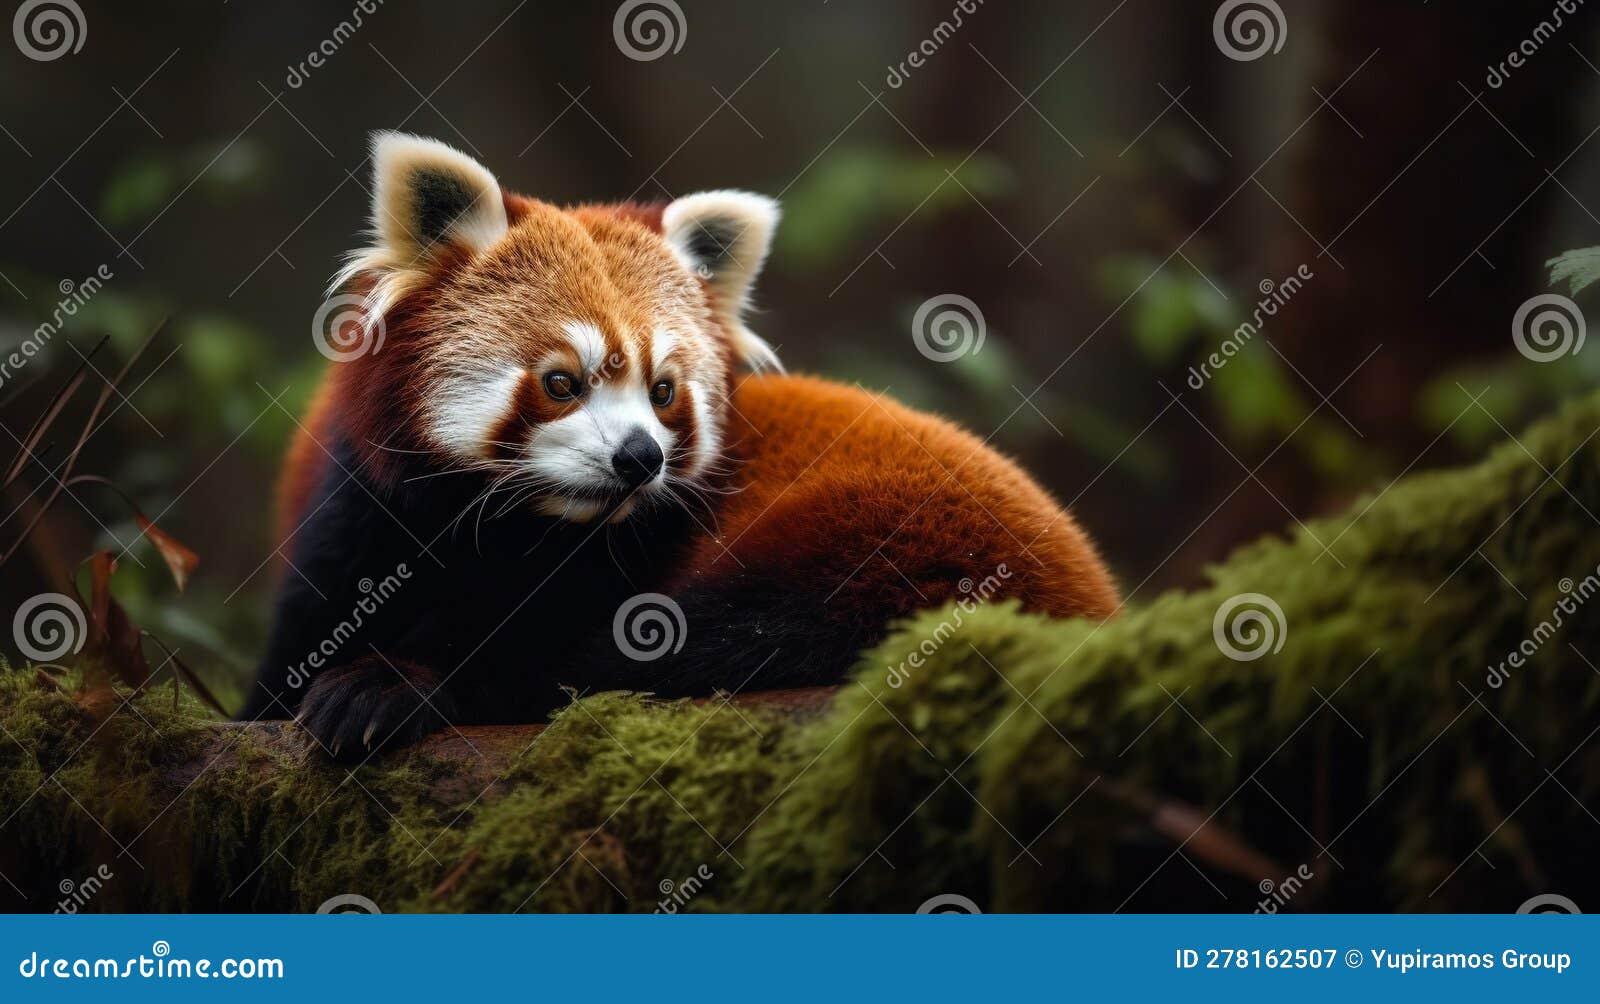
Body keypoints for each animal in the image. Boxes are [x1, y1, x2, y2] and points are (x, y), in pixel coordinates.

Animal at [241, 132, 1120, 760]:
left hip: (886, 535)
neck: (518, 531)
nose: (640, 458)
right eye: (561, 382)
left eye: (663, 391)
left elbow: (541, 649)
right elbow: (314, 619)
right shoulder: (356, 507)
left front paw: (391, 685)